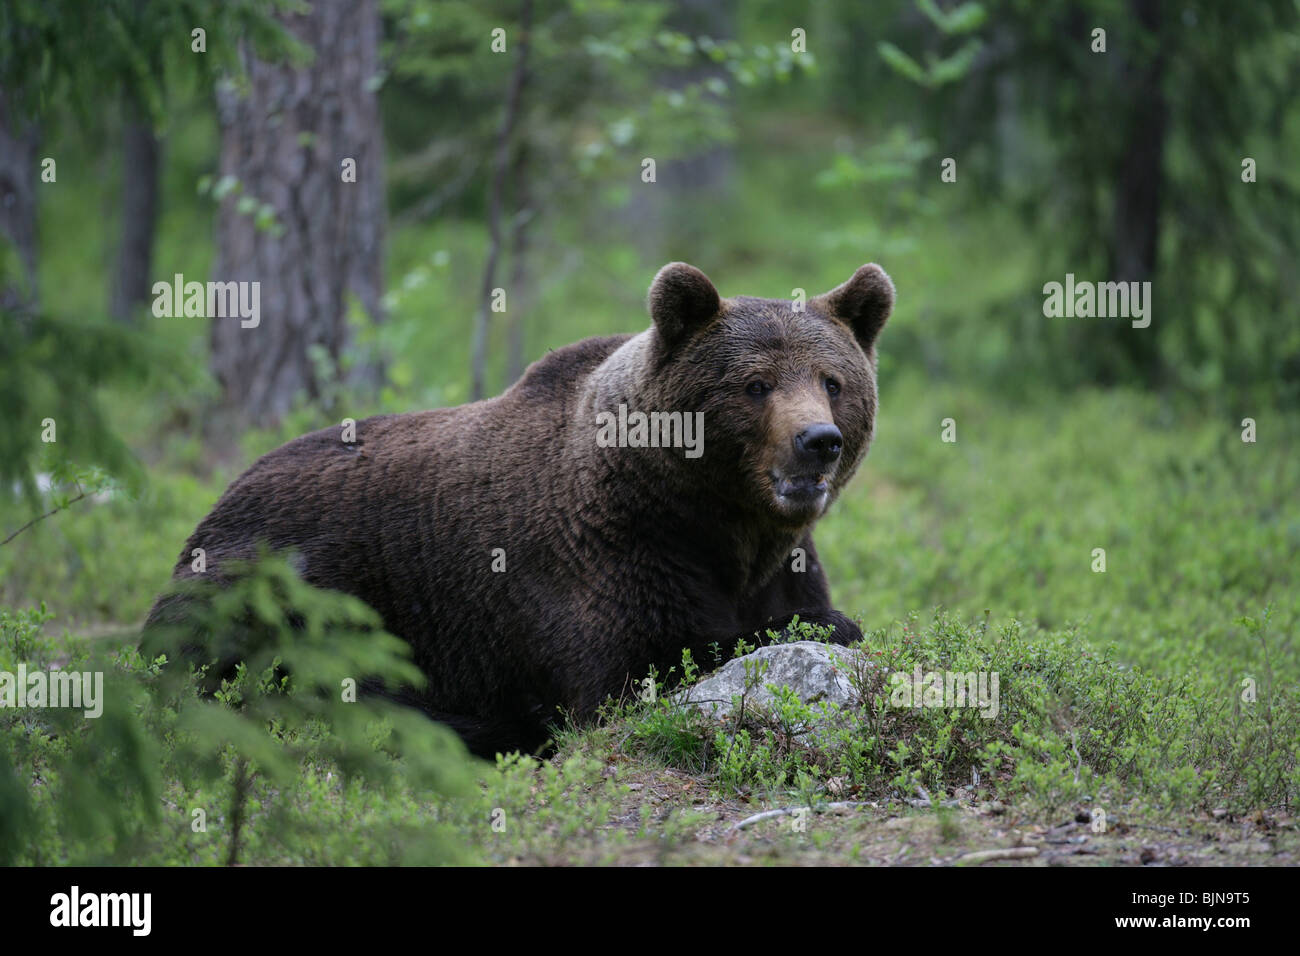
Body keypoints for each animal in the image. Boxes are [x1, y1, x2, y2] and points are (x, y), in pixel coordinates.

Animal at [144, 261, 895, 758]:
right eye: (755, 385)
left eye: (833, 381)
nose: (817, 441)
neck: (712, 520)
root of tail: (225, 491)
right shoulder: (597, 559)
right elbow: (639, 665)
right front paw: (826, 624)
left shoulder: (779, 558)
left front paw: (825, 617)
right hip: (266, 573)